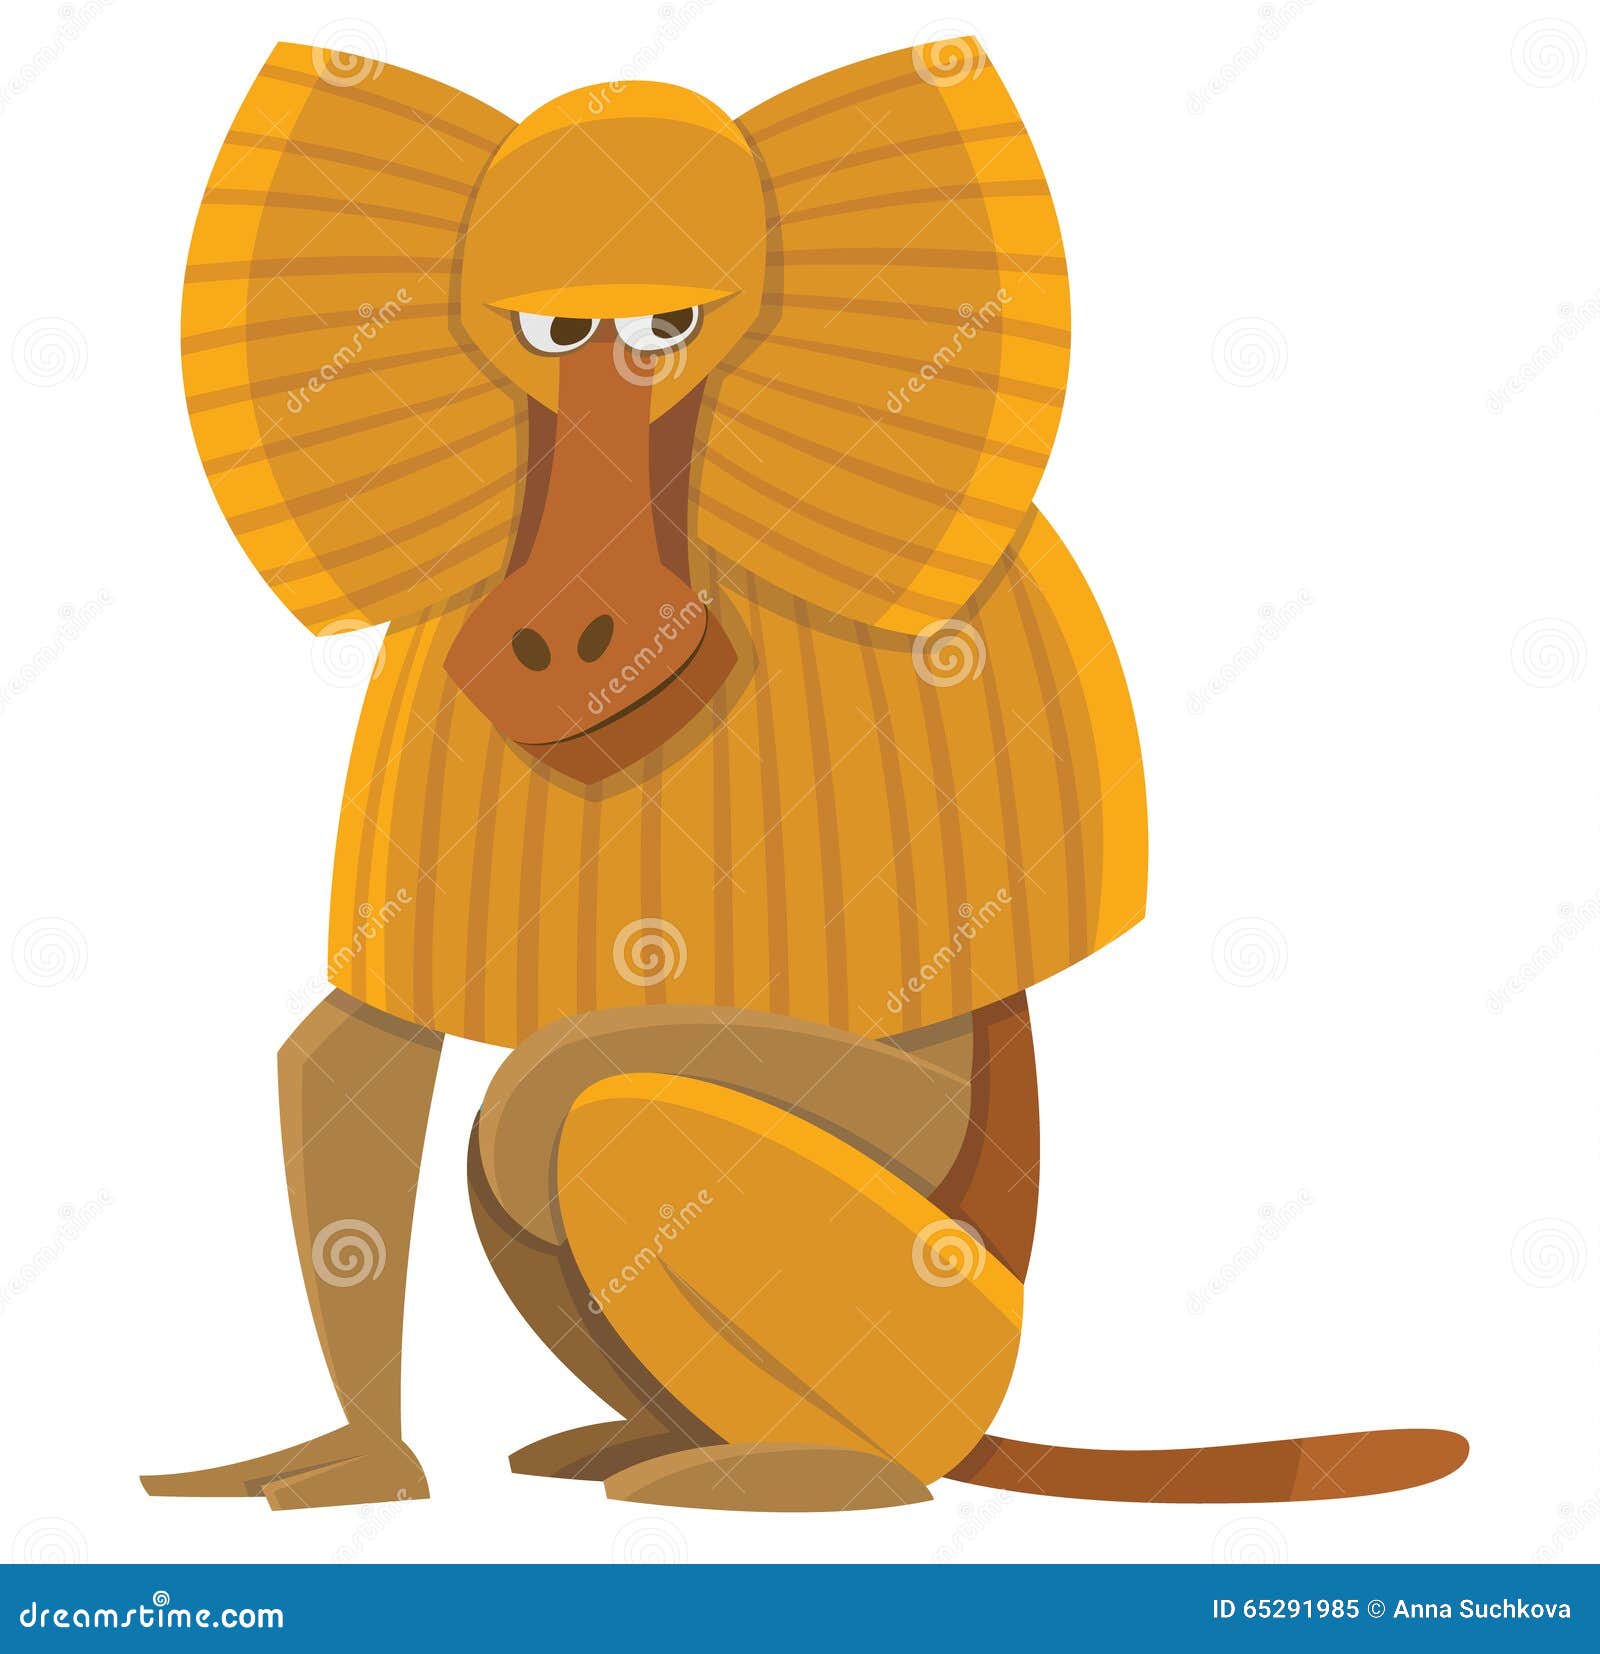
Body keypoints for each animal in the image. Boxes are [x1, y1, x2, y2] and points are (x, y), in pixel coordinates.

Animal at [147, 39, 1468, 1512]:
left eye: (668, 328)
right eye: (552, 337)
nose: (564, 635)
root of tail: (978, 1431)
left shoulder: (961, 643)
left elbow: (869, 1081)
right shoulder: (428, 675)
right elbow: (362, 1040)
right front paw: (363, 1455)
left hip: (945, 1340)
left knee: (576, 1115)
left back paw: (801, 1469)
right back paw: (643, 1439)